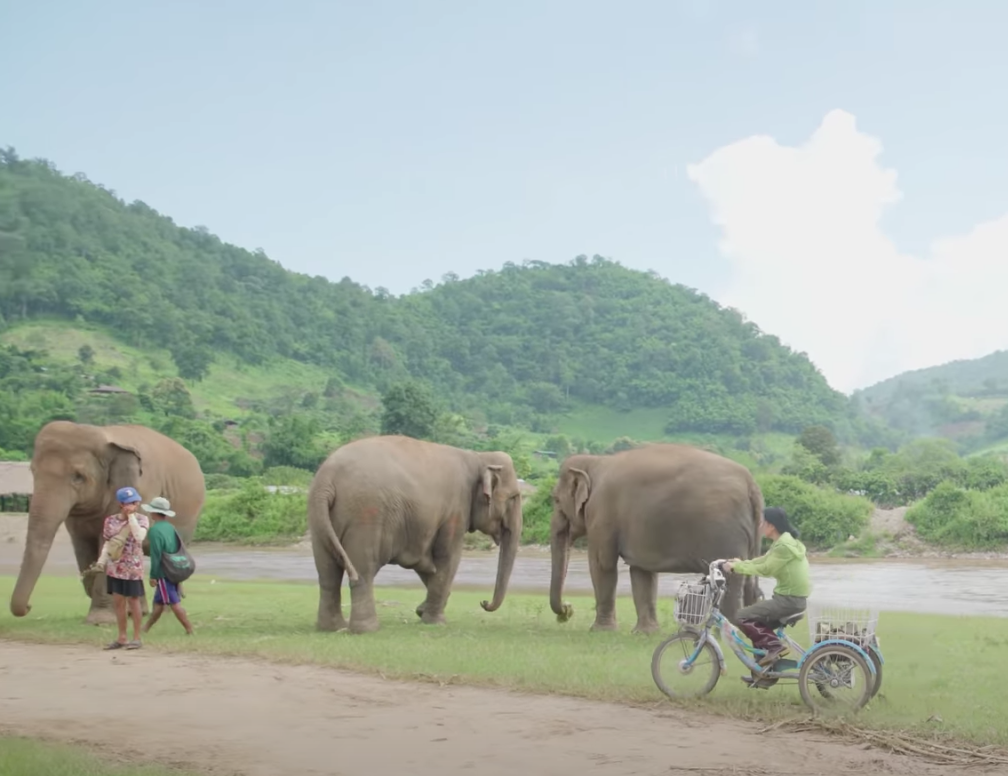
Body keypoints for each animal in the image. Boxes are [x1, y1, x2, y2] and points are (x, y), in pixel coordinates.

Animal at [9, 420, 205, 624]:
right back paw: (140, 611)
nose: (29, 606)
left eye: (78, 477)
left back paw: (165, 611)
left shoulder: (139, 490)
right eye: (33, 472)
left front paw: (100, 620)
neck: (101, 434)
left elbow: (111, 544)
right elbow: (83, 547)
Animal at [307, 434, 524, 634]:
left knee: (327, 574)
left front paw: (422, 611)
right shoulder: (455, 511)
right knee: (363, 571)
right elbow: (447, 558)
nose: (484, 602)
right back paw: (367, 630)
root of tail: (326, 479)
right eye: (514, 497)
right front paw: (436, 622)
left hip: (319, 521)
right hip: (366, 516)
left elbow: (426, 564)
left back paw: (332, 628)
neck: (478, 456)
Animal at [549, 443, 764, 634]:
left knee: (731, 580)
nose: (567, 609)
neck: (595, 462)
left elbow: (603, 564)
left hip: (725, 536)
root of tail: (751, 484)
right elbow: (642, 573)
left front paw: (600, 631)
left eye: (556, 499)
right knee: (750, 582)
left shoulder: (601, 512)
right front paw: (645, 633)